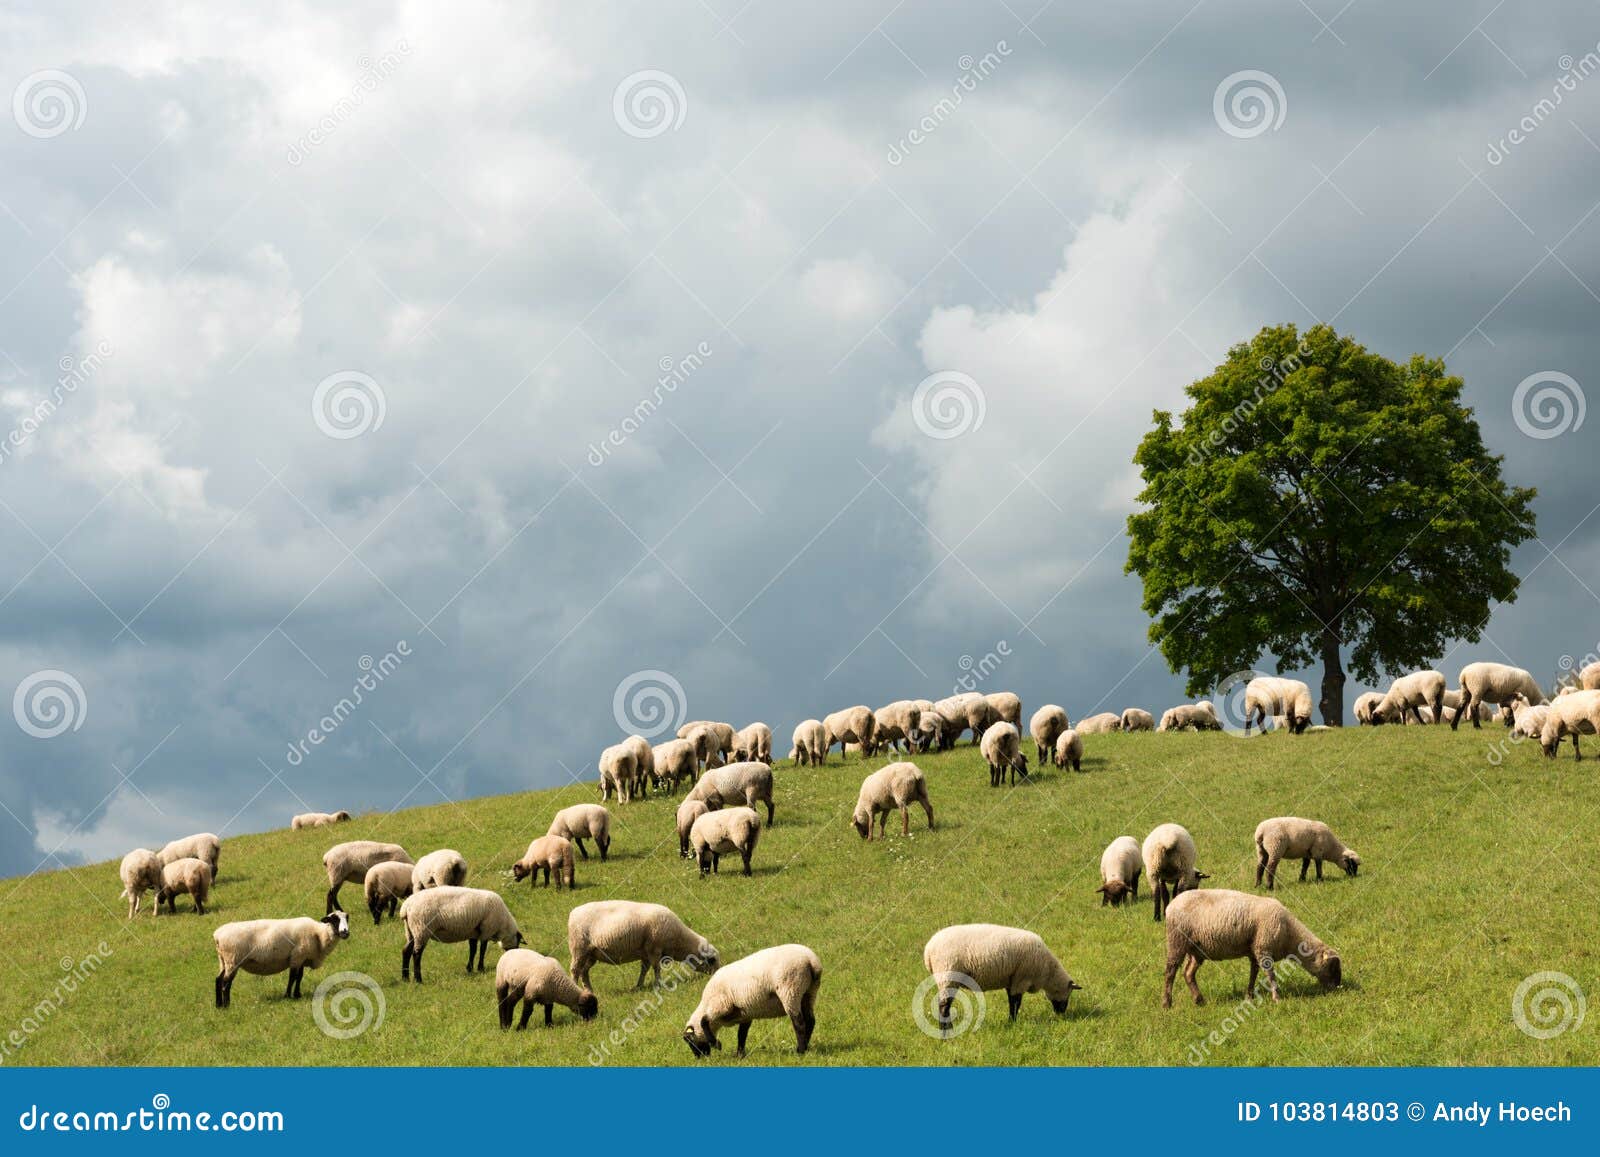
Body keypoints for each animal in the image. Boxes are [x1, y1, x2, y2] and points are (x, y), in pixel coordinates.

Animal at [213, 911, 350, 1007]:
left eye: (347, 918)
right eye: (335, 919)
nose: (345, 932)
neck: (318, 934)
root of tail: (217, 935)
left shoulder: (301, 958)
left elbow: (299, 977)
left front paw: (297, 995)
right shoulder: (297, 955)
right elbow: (293, 977)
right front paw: (288, 996)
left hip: (223, 960)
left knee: (218, 979)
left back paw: (219, 1005)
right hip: (233, 959)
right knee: (226, 983)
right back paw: (227, 1005)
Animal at [567, 900, 719, 989]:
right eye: (712, 960)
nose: (716, 975)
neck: (679, 940)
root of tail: (573, 912)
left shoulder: (646, 952)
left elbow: (644, 969)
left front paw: (639, 986)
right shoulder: (654, 949)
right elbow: (656, 968)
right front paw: (658, 985)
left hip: (591, 954)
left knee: (584, 971)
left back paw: (589, 991)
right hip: (579, 948)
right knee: (575, 970)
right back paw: (575, 987)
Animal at [683, 944, 821, 1058]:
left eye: (690, 1041)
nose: (700, 1058)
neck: (706, 1003)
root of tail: (811, 960)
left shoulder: (721, 1005)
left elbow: (704, 1021)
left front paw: (716, 1044)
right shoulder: (744, 1015)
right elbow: (741, 1034)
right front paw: (739, 1055)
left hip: (790, 988)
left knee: (799, 1023)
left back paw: (800, 1051)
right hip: (809, 992)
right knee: (810, 1021)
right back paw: (805, 1047)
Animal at [922, 924, 1081, 1029]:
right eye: (1068, 995)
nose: (1061, 1013)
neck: (1048, 971)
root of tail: (928, 949)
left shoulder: (1012, 980)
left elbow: (1011, 1000)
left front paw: (1011, 1021)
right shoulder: (1021, 979)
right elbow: (1016, 1003)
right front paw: (1013, 1022)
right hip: (947, 974)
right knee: (943, 1006)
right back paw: (947, 1029)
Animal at [1161, 888, 1341, 1007]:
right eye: (1332, 967)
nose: (1338, 988)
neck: (1290, 934)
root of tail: (1171, 905)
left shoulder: (1255, 951)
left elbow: (1253, 974)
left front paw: (1249, 996)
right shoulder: (1263, 949)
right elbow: (1271, 975)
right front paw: (1276, 997)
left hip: (1196, 950)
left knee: (1188, 973)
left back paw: (1199, 1000)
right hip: (1177, 942)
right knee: (1170, 972)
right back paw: (1167, 1003)